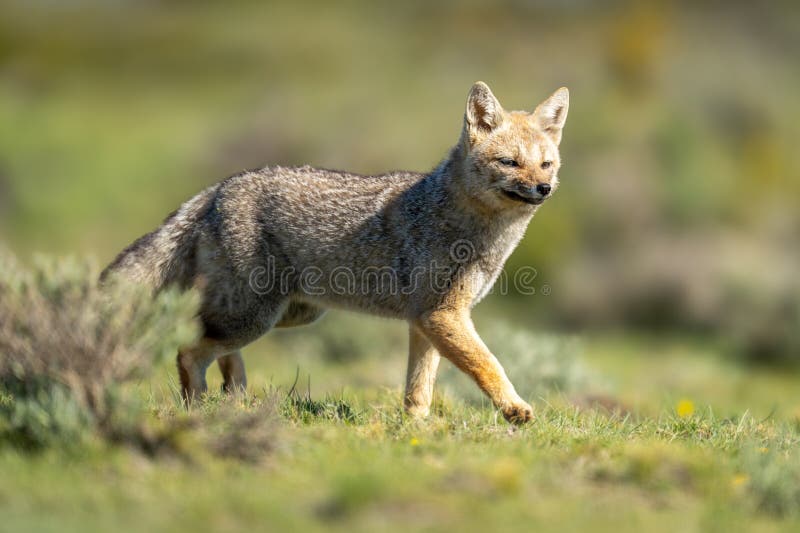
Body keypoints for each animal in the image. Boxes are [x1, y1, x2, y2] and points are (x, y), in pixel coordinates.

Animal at [103, 81, 569, 424]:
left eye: (546, 164)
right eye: (510, 163)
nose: (544, 189)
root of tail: (219, 188)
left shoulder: (427, 320)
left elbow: (419, 387)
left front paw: (416, 429)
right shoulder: (443, 314)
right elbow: (488, 364)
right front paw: (513, 408)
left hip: (289, 314)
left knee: (212, 346)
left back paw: (234, 398)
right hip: (256, 315)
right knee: (188, 348)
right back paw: (200, 411)